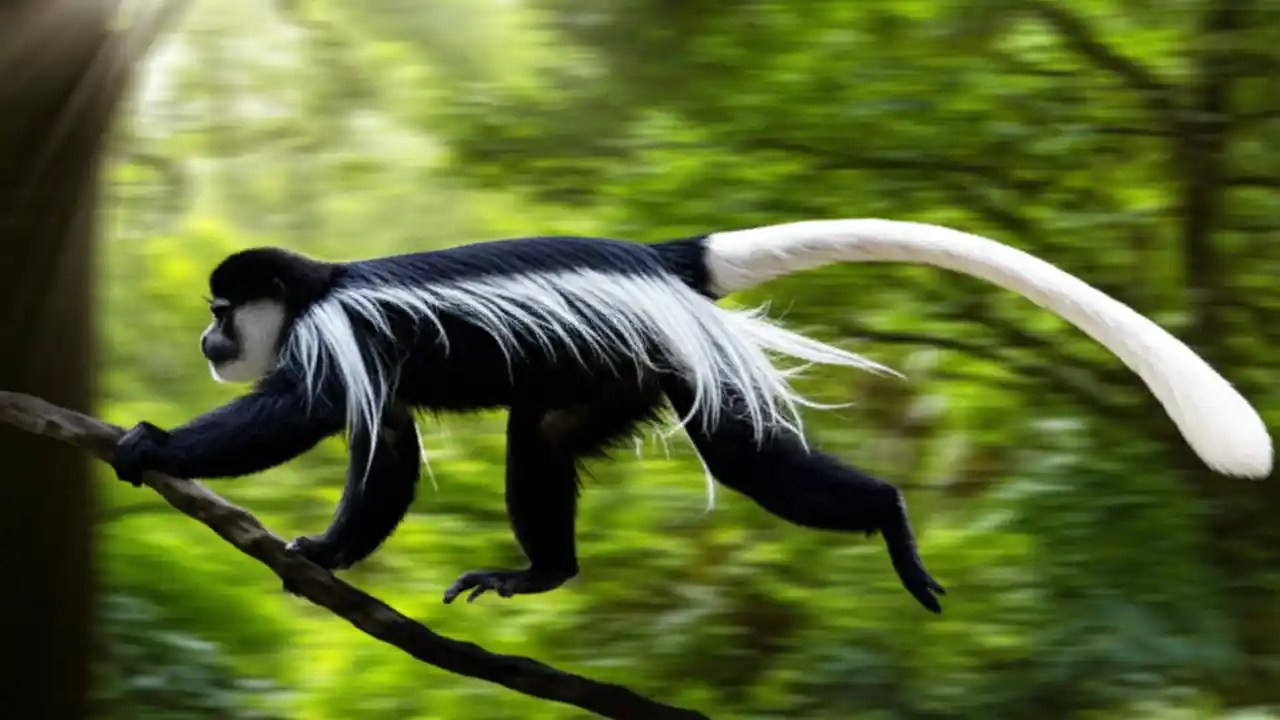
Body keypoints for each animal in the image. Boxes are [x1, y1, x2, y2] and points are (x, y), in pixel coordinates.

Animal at [110, 220, 1273, 613]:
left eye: (223, 310)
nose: (210, 340)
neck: (318, 288)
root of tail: (664, 261)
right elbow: (384, 450)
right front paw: (330, 553)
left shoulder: (338, 338)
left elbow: (306, 422)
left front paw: (152, 444)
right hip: (616, 370)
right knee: (543, 438)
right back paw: (543, 574)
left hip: (669, 355)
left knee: (749, 459)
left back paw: (889, 517)